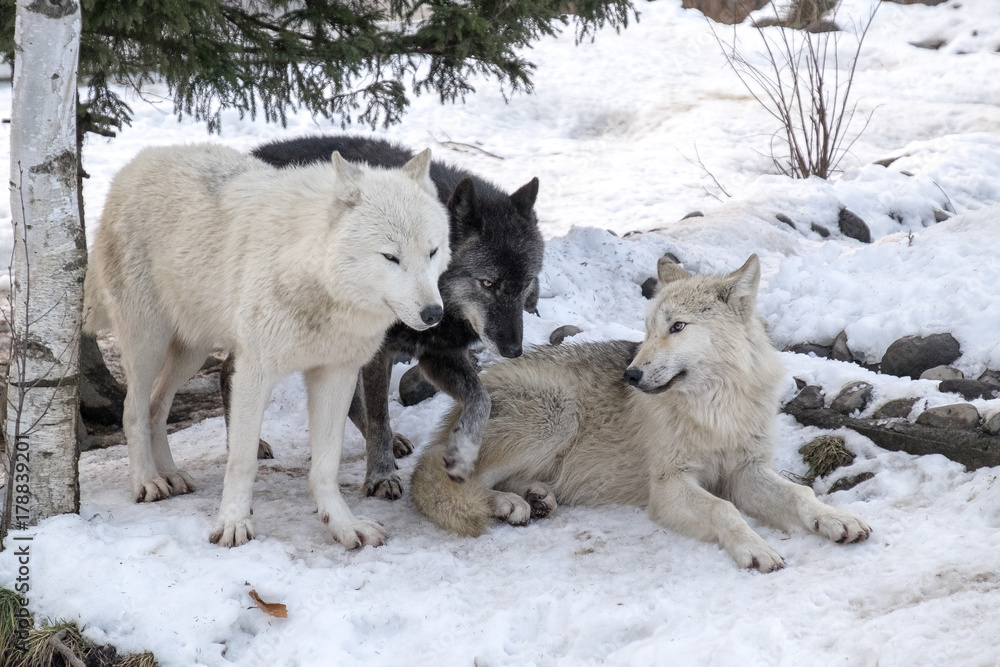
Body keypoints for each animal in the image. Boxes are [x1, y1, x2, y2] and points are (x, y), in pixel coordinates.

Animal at [84, 143, 450, 548]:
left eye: (432, 252)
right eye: (390, 256)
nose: (434, 313)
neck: (317, 283)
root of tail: (135, 163)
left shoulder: (335, 373)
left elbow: (326, 465)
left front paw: (342, 525)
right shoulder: (254, 372)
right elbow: (242, 460)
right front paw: (233, 524)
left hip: (191, 353)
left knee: (155, 408)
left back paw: (172, 475)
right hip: (147, 342)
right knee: (133, 410)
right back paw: (148, 481)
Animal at [245, 135, 545, 496]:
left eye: (525, 283)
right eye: (487, 283)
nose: (514, 351)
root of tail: (253, 153)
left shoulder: (437, 354)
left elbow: (481, 399)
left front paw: (462, 453)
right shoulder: (381, 352)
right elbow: (379, 417)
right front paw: (381, 475)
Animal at [411, 255, 871, 571]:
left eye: (678, 327)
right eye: (648, 330)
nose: (630, 374)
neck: (714, 407)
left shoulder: (745, 471)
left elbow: (800, 494)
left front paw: (836, 520)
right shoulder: (669, 486)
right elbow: (724, 509)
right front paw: (755, 548)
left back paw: (535, 497)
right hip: (558, 413)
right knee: (452, 483)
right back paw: (509, 504)